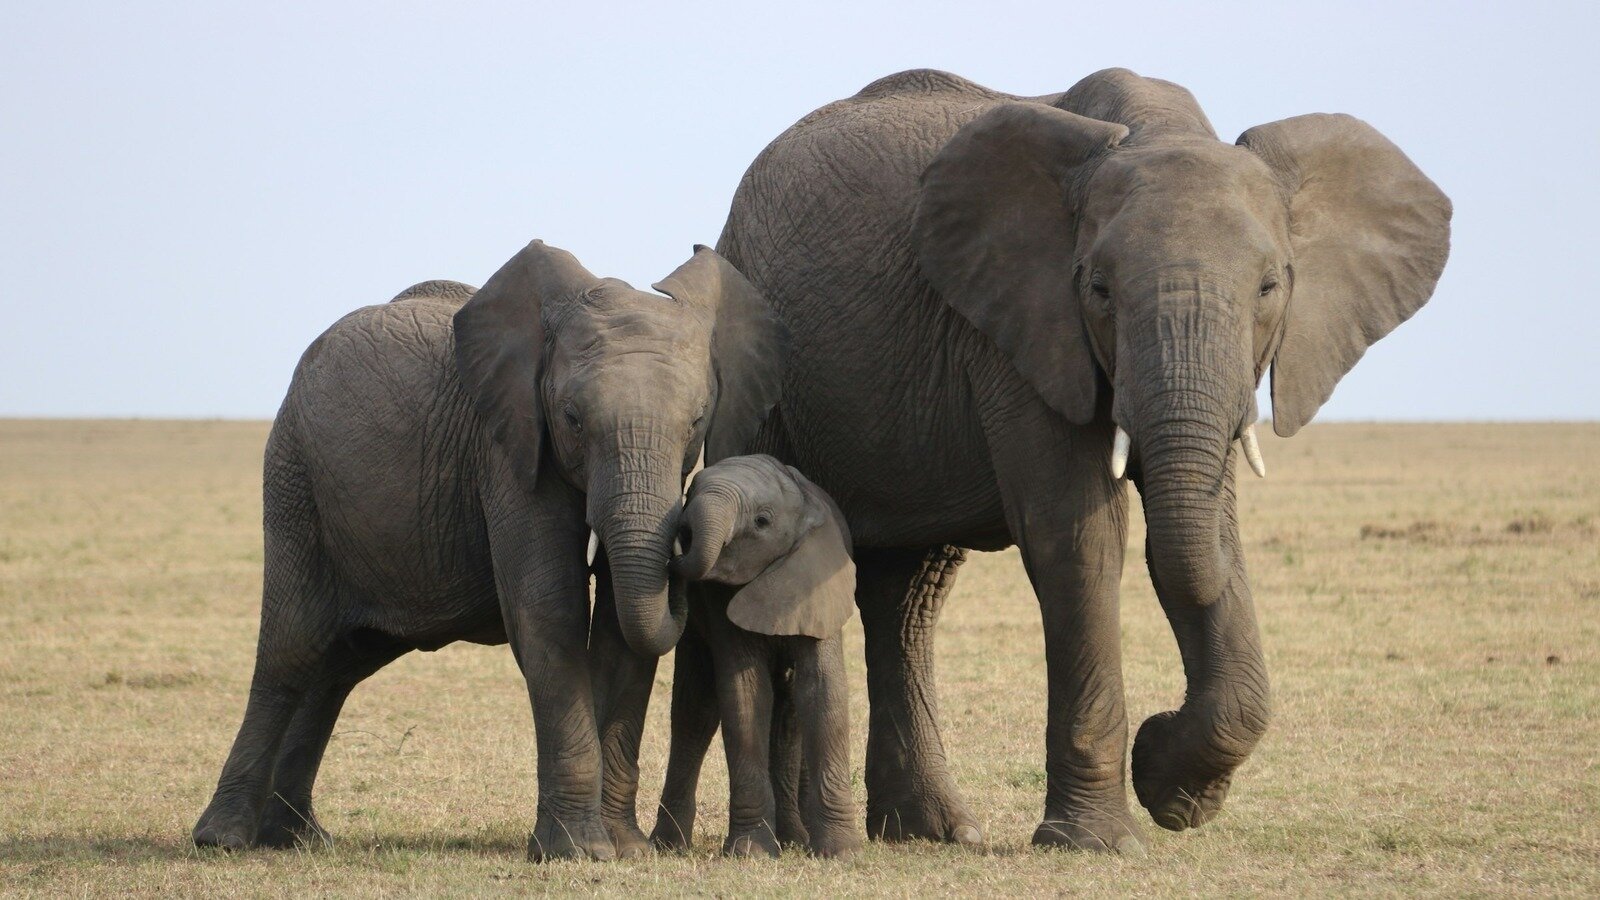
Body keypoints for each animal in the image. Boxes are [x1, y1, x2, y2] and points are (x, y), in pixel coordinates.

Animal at [191, 240, 787, 860]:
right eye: (573, 420)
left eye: (696, 421)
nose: (687, 541)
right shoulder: (507, 448)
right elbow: (550, 610)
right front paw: (578, 852)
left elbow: (621, 629)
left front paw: (625, 850)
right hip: (294, 477)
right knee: (293, 648)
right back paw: (224, 839)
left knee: (339, 665)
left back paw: (297, 838)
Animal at [648, 455, 861, 860]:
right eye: (691, 492)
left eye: (762, 521)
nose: (680, 534)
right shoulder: (717, 599)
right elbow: (745, 695)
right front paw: (750, 853)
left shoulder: (818, 584)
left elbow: (822, 691)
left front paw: (840, 853)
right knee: (694, 711)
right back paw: (668, 846)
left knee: (788, 714)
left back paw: (794, 839)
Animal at [673, 67, 1451, 854]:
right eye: (1098, 288)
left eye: (1270, 287)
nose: (1157, 734)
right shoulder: (1018, 330)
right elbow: (1080, 535)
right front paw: (1104, 837)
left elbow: (1210, 534)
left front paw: (1177, 793)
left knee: (909, 593)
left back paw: (934, 831)